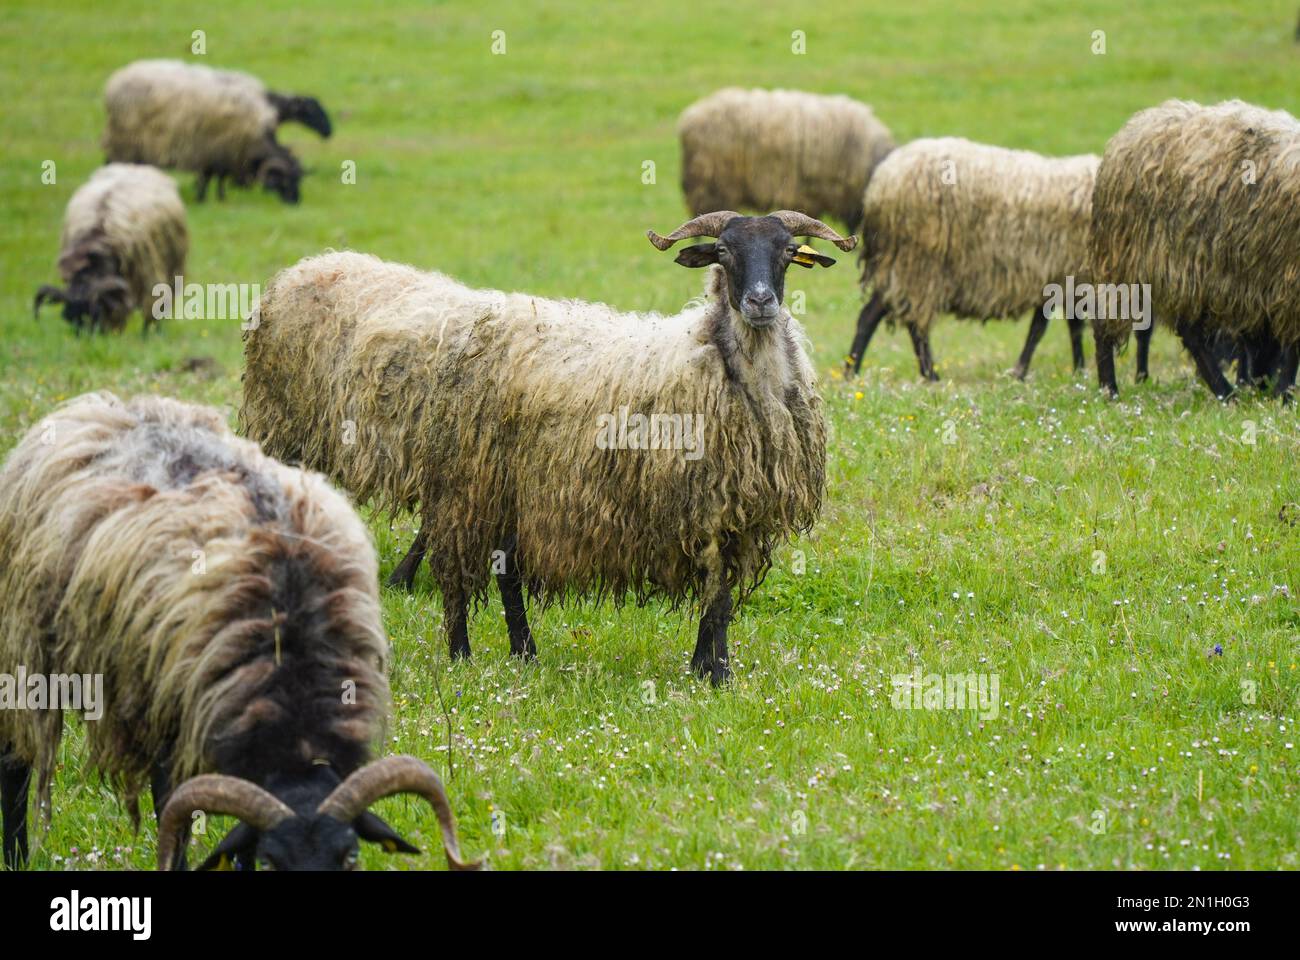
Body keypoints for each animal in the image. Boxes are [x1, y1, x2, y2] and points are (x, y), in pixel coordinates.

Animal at [0, 392, 478, 871]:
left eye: (350, 857)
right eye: (270, 861)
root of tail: (102, 404)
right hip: (26, 647)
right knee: (15, 759)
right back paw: (16, 854)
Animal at [102, 59, 313, 204]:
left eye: (298, 178)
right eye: (285, 180)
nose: (295, 202)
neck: (253, 140)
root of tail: (115, 82)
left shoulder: (224, 154)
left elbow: (219, 178)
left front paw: (220, 197)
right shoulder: (211, 150)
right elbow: (209, 178)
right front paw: (203, 198)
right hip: (124, 142)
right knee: (111, 162)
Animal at [241, 211, 854, 685]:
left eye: (789, 252)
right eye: (724, 253)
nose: (760, 302)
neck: (717, 360)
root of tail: (295, 273)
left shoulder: (738, 511)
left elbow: (719, 597)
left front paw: (710, 668)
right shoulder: (704, 505)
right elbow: (716, 591)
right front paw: (715, 672)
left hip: (510, 486)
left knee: (505, 573)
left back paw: (524, 653)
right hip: (456, 480)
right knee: (454, 576)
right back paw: (461, 656)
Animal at [845, 137, 1100, 382]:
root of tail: (880, 183)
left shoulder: (1063, 279)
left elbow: (1066, 326)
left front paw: (1078, 370)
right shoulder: (1061, 275)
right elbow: (1044, 329)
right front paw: (1022, 372)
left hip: (901, 265)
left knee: (879, 316)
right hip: (915, 263)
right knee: (895, 320)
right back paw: (918, 374)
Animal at [1088, 99, 1300, 399]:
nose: (1261, 386)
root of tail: (1138, 123)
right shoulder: (1289, 280)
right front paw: (1283, 395)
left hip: (1194, 270)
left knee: (1193, 332)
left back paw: (1228, 392)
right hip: (1127, 257)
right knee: (1106, 323)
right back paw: (1110, 391)